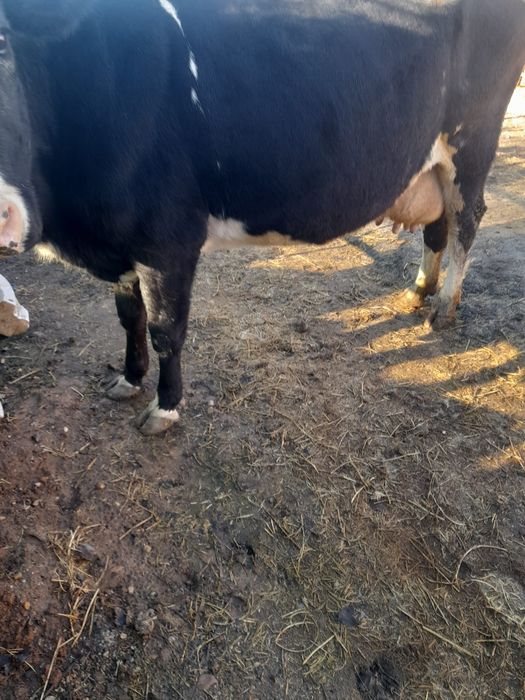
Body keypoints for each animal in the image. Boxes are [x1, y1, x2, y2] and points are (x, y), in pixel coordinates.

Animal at [0, 0, 524, 434]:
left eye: (6, 50)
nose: (5, 214)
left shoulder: (167, 239)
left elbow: (166, 329)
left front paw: (165, 407)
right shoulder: (124, 241)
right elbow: (130, 319)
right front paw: (128, 380)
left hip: (474, 138)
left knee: (468, 219)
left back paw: (444, 307)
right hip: (432, 163)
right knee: (438, 225)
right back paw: (419, 290)